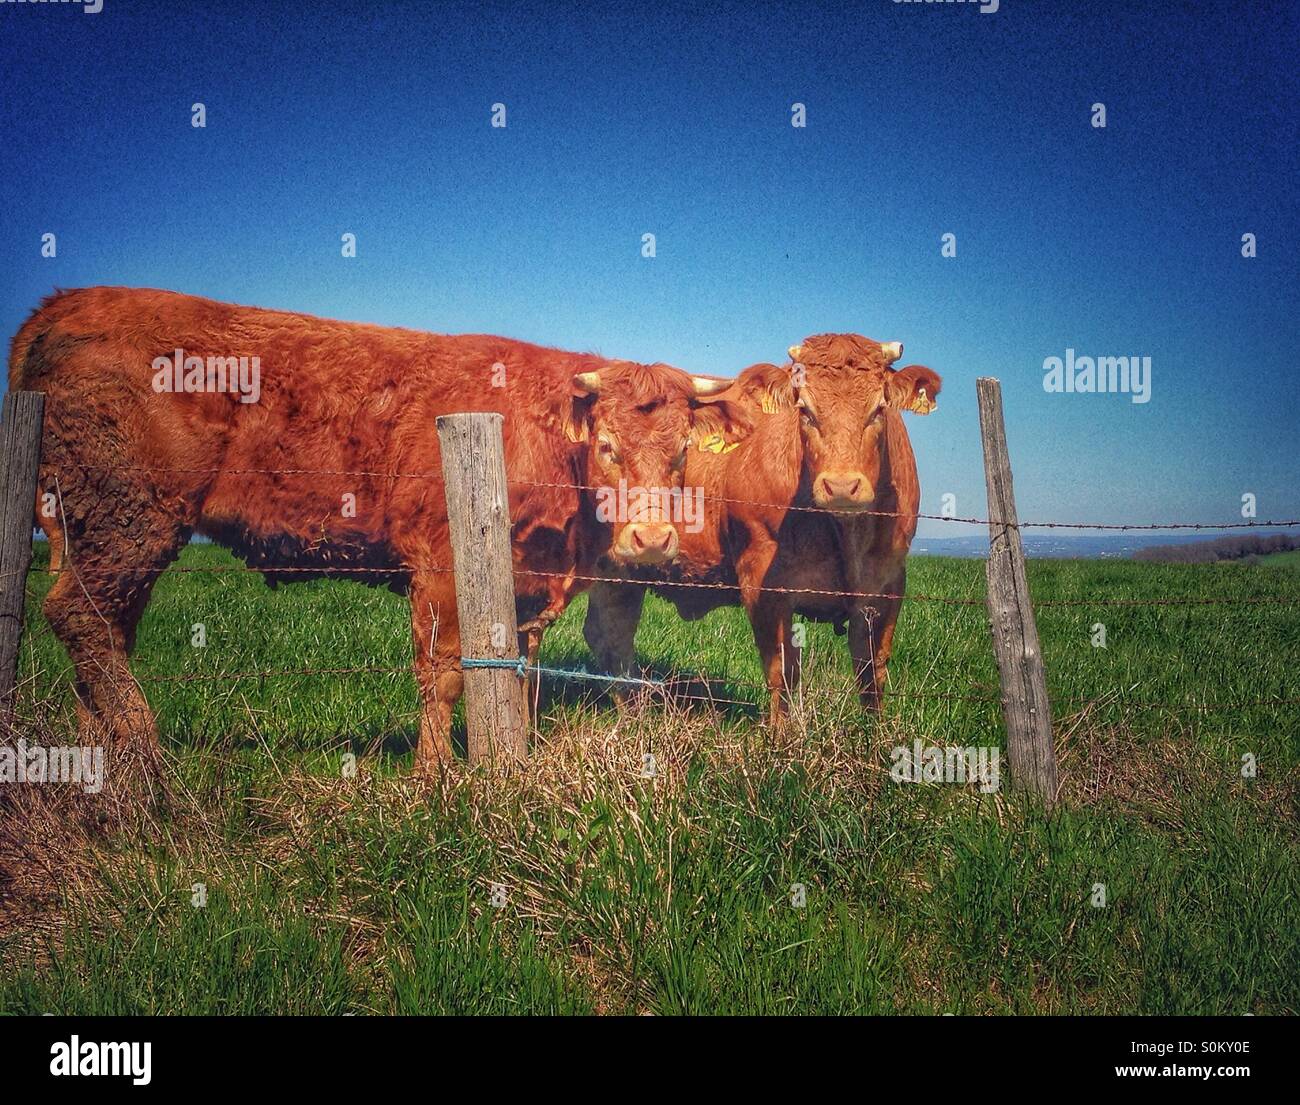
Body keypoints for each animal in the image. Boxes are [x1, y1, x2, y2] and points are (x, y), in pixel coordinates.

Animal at [9, 287, 753, 771]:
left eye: (682, 451)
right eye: (607, 447)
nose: (651, 542)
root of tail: (63, 303)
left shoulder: (522, 587)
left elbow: (518, 678)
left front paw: (510, 759)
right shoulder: (441, 570)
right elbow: (444, 677)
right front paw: (435, 778)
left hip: (90, 528)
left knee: (105, 634)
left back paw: (101, 767)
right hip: (130, 518)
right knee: (82, 619)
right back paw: (145, 756)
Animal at [582, 333, 941, 722]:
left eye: (878, 409)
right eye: (805, 410)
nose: (842, 486)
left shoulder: (889, 584)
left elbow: (872, 672)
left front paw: (874, 735)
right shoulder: (762, 580)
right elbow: (782, 672)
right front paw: (781, 735)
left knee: (608, 635)